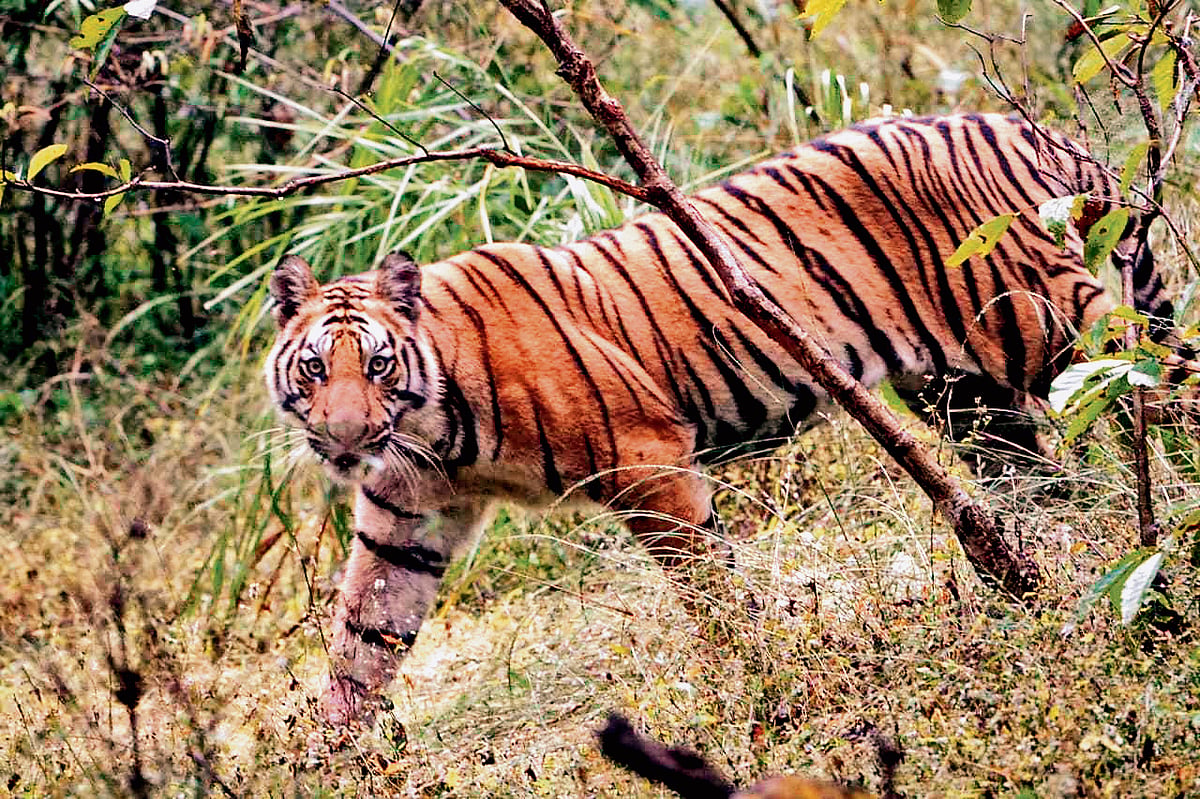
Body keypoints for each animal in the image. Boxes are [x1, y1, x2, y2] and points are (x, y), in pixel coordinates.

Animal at [264, 113, 1176, 725]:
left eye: (378, 364)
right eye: (314, 368)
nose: (346, 438)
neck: (431, 433)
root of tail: (1019, 122)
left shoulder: (646, 458)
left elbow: (711, 591)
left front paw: (759, 673)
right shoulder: (404, 519)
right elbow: (361, 640)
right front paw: (332, 755)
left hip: (1047, 321)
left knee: (1152, 382)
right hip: (967, 394)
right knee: (1040, 488)